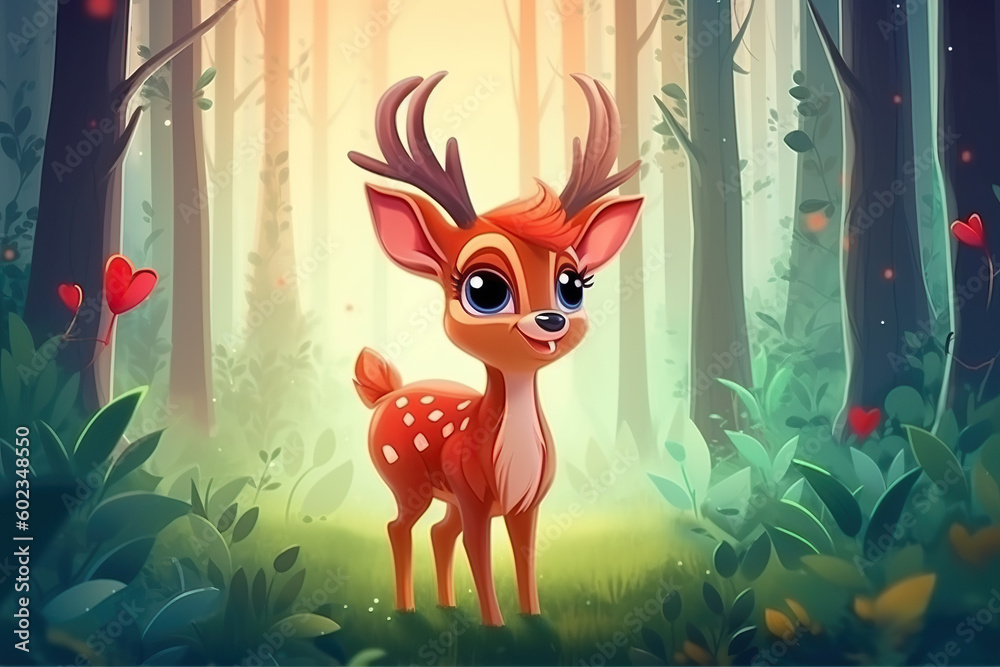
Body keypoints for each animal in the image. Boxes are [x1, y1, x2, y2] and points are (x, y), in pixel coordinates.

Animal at [348, 71, 643, 627]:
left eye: (573, 284)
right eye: (483, 288)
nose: (550, 321)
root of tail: (385, 394)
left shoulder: (528, 504)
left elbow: (525, 556)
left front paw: (532, 617)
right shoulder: (473, 496)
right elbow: (480, 554)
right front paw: (495, 625)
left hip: (439, 496)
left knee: (438, 532)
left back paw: (443, 604)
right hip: (406, 480)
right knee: (401, 528)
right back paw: (407, 609)